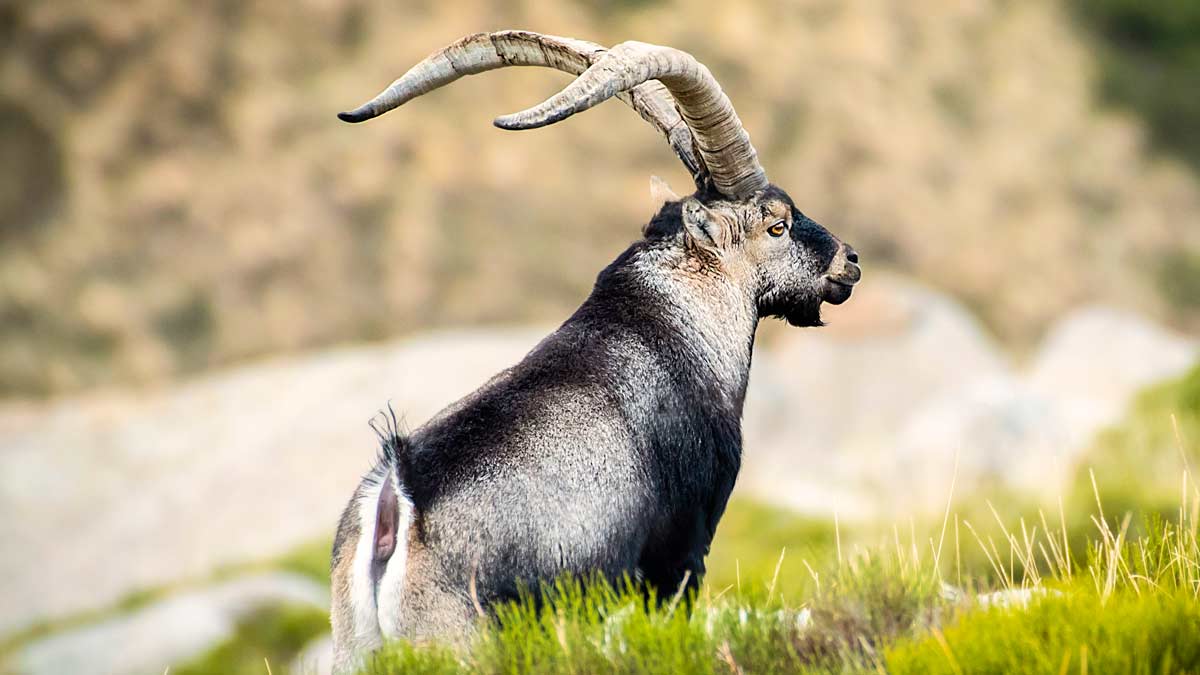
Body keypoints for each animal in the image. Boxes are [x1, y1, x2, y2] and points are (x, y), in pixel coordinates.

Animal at [329, 31, 861, 672]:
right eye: (777, 225)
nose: (848, 262)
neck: (675, 323)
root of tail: (393, 510)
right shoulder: (678, 551)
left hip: (354, 648)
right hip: (460, 642)